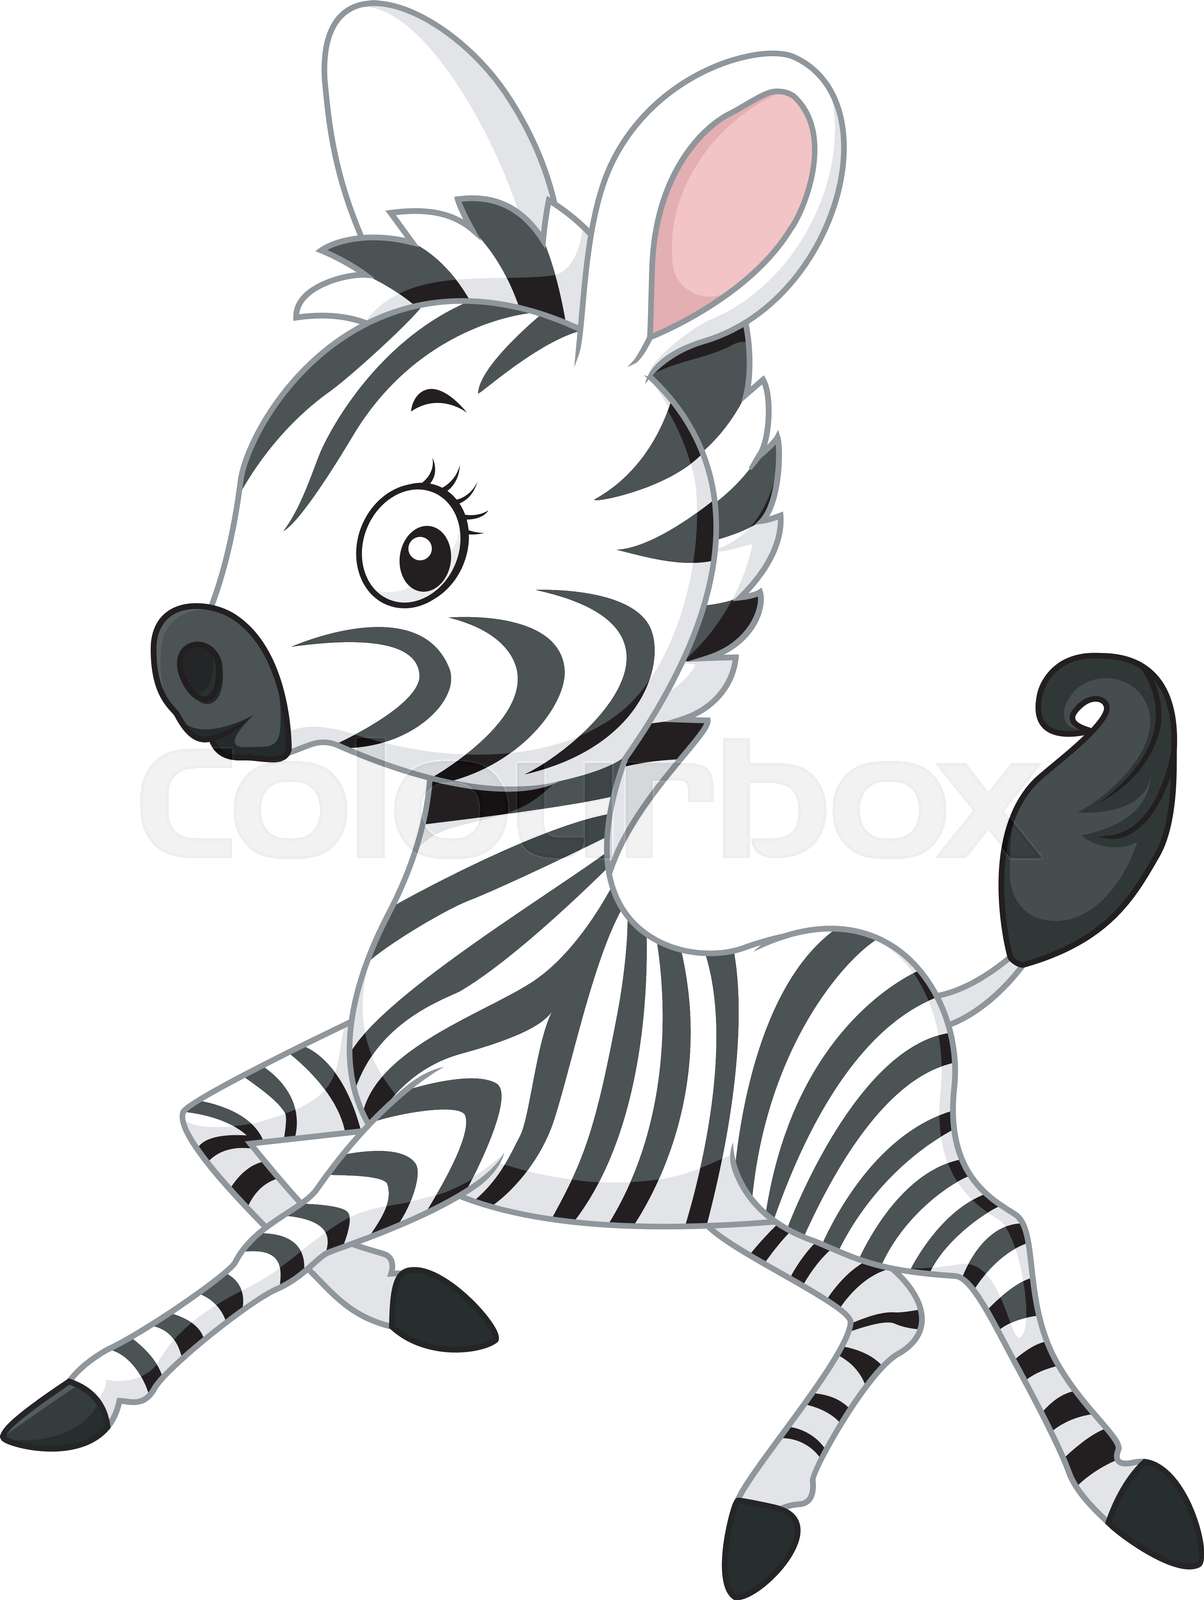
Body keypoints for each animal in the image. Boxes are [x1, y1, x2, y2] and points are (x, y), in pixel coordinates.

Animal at [4, 5, 1196, 1594]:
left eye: (422, 547)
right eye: (254, 481)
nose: (193, 661)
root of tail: (938, 980)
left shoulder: (449, 1123)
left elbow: (277, 1246)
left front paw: (82, 1395)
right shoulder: (357, 1076)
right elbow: (217, 1132)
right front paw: (412, 1296)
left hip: (866, 1164)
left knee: (994, 1239)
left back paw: (1126, 1489)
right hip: (751, 1204)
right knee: (888, 1304)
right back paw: (767, 1508)